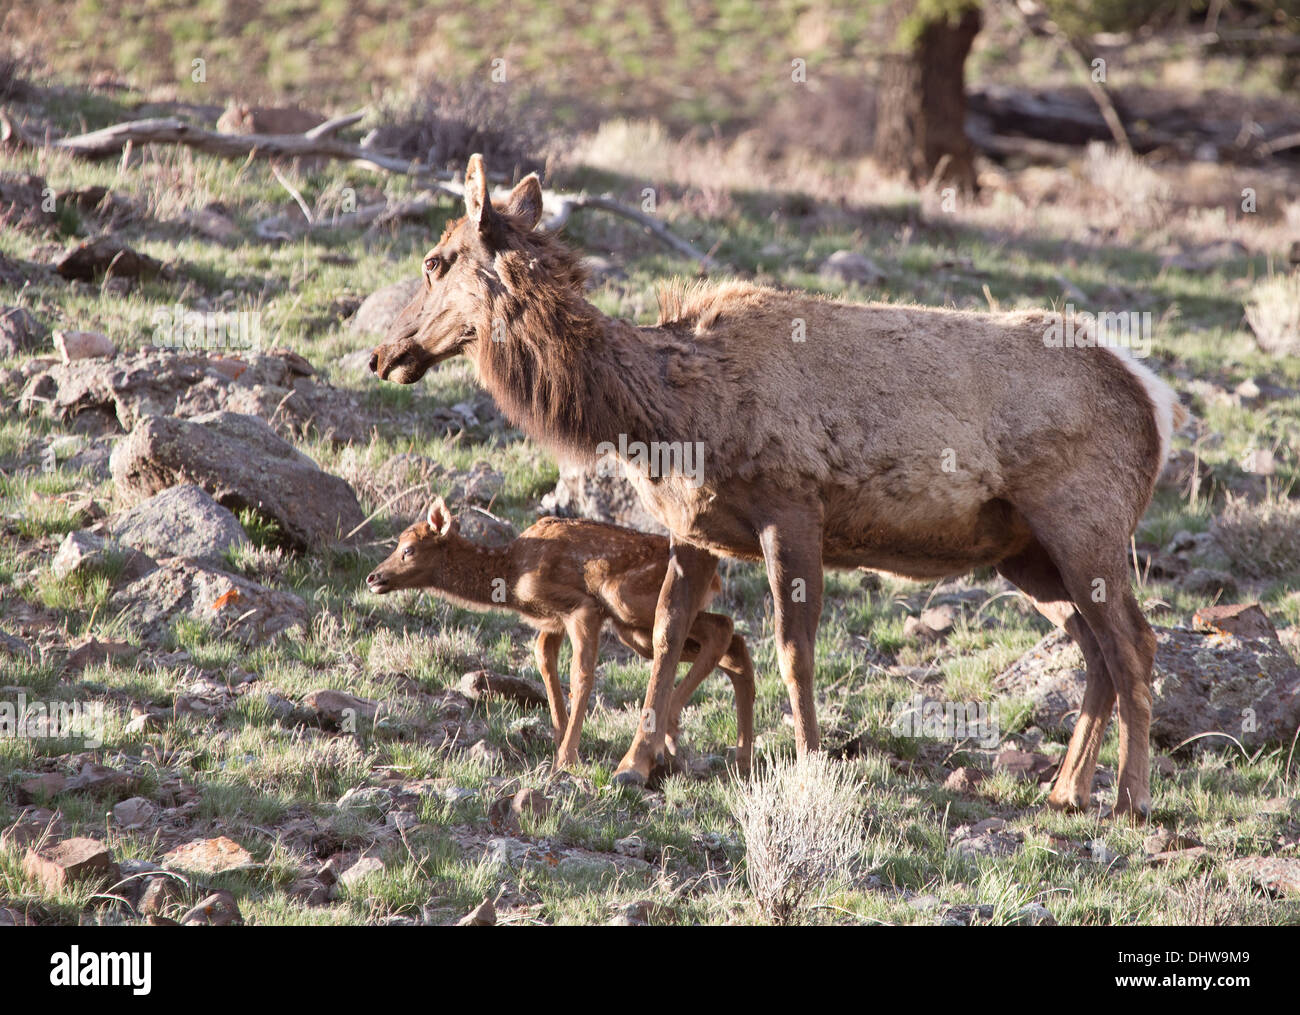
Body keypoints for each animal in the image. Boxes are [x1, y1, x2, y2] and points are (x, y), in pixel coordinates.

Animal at [365, 496, 755, 775]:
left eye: (408, 549)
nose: (373, 577)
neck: (509, 577)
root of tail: (717, 579)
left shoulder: (583, 607)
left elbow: (581, 676)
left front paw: (566, 757)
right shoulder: (551, 622)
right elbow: (543, 659)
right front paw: (560, 733)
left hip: (625, 600)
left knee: (720, 629)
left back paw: (671, 732)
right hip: (633, 630)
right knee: (731, 640)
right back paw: (738, 760)